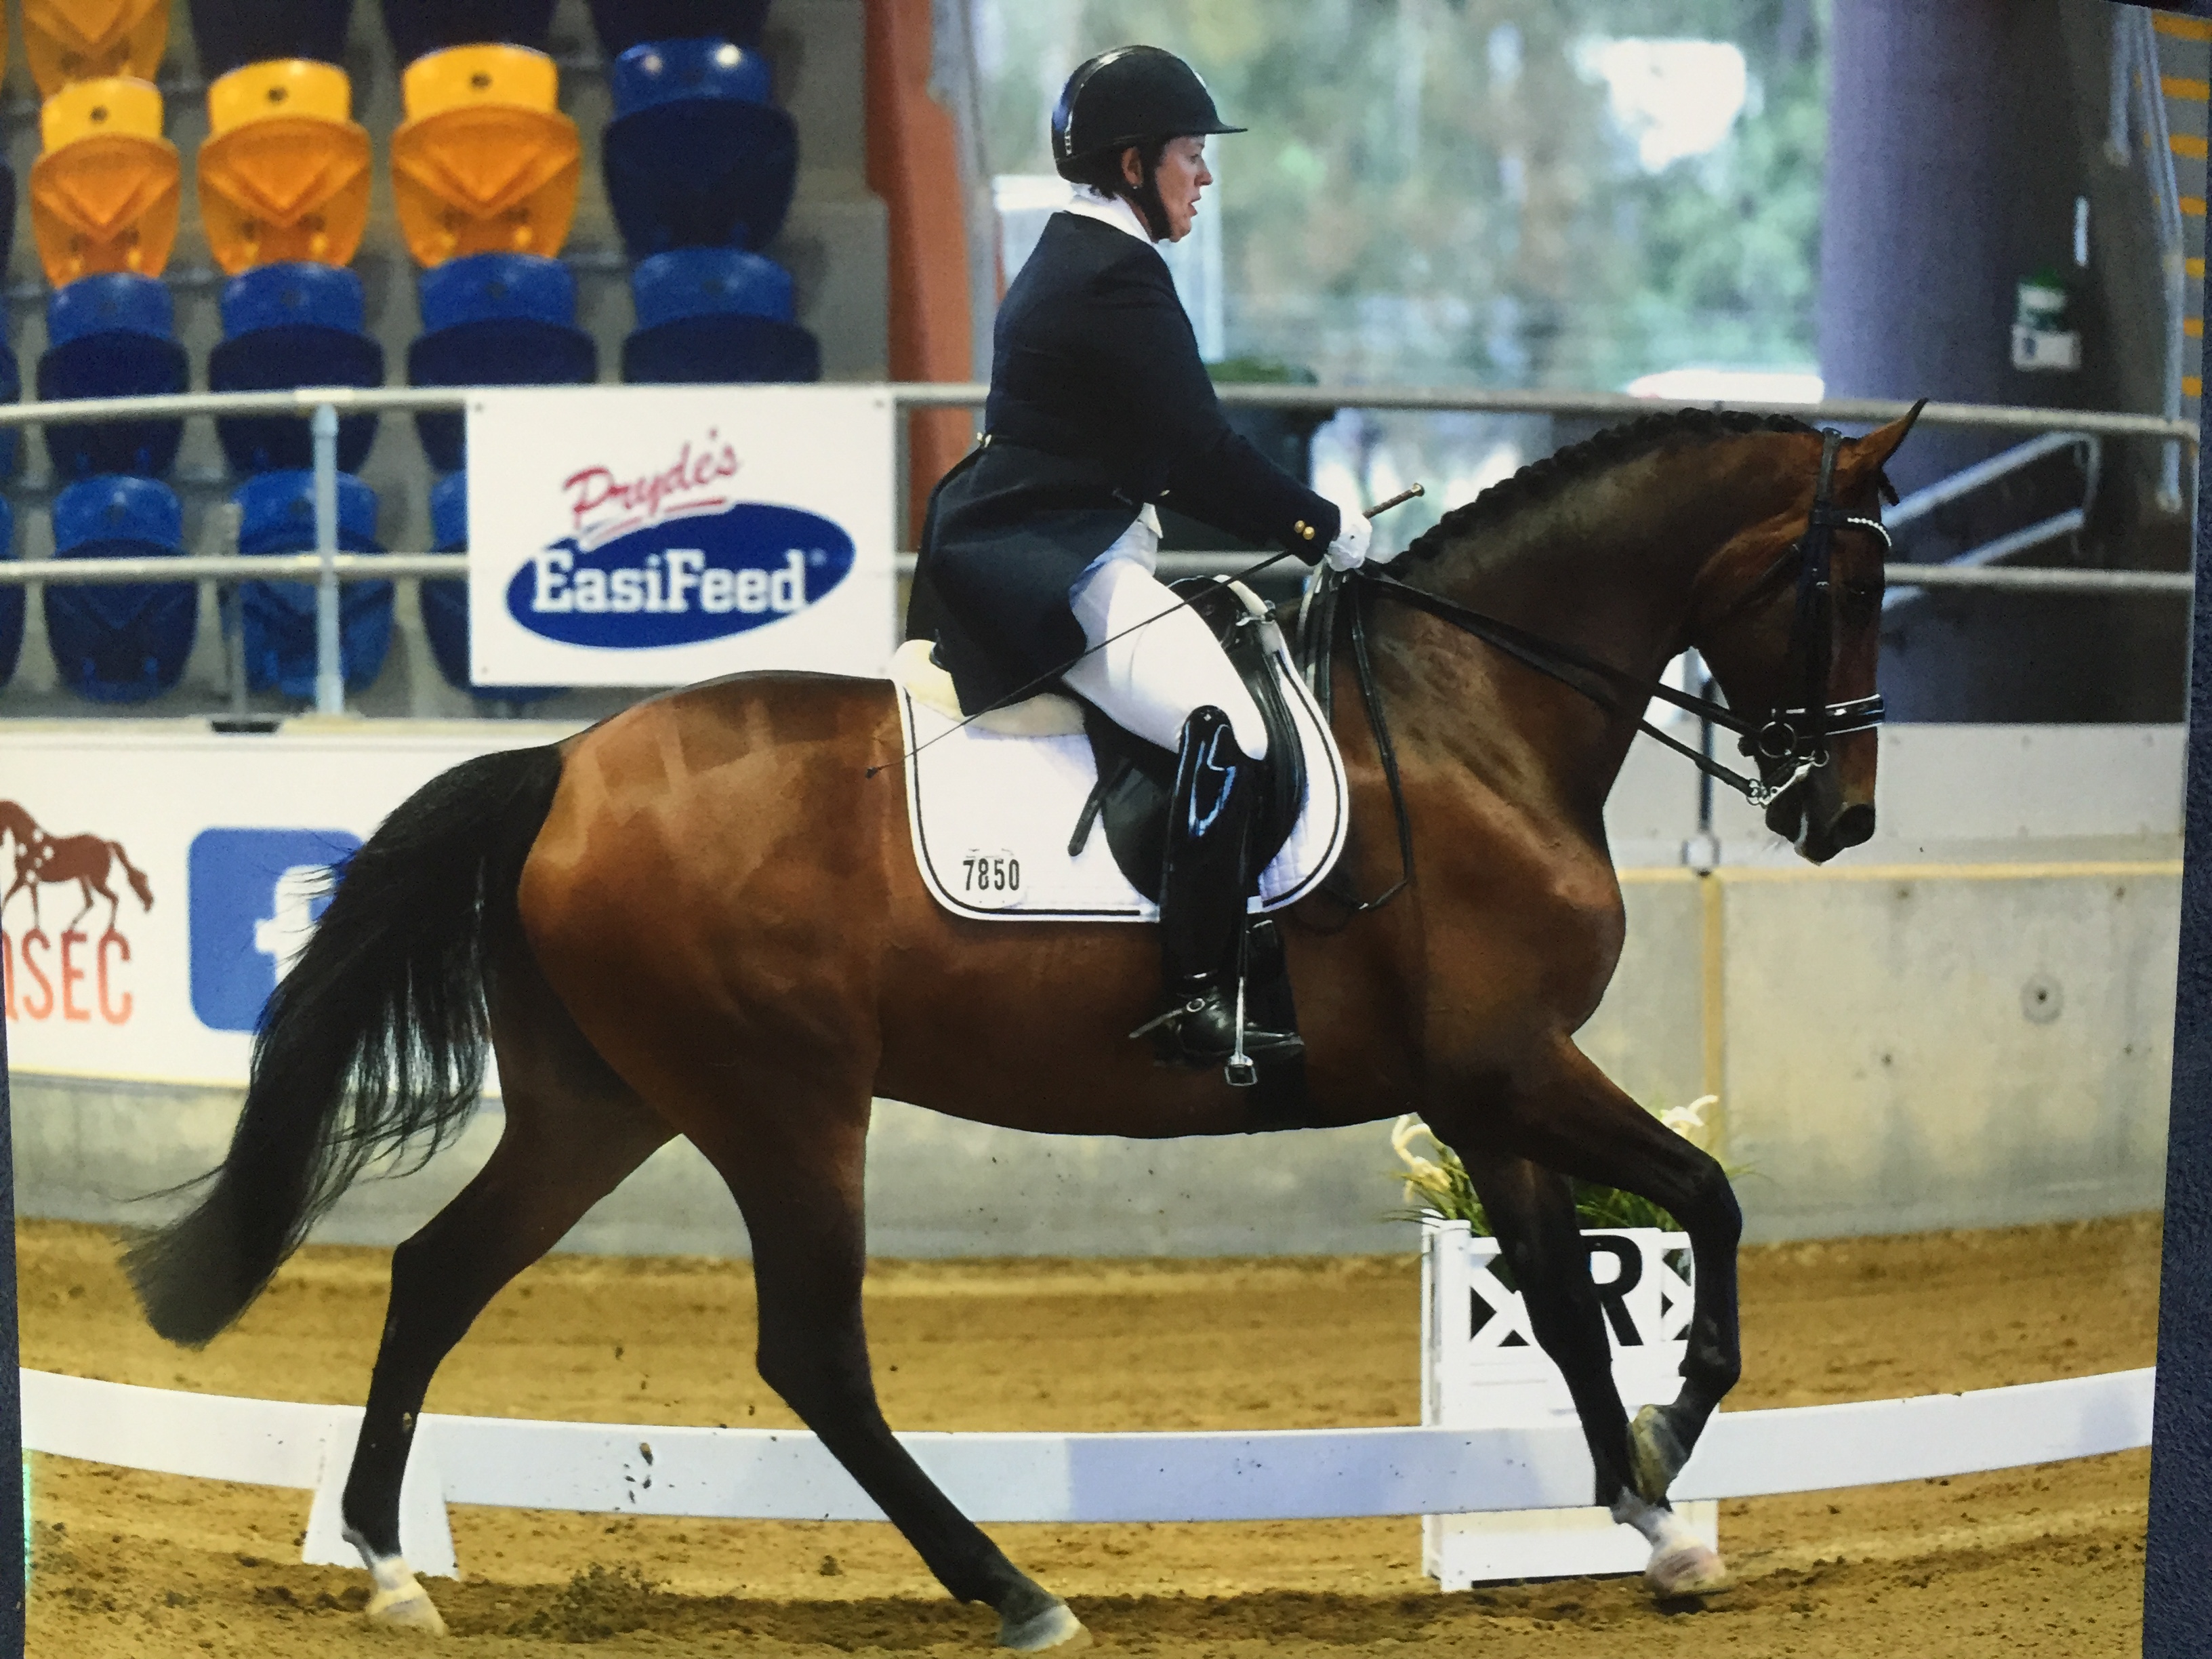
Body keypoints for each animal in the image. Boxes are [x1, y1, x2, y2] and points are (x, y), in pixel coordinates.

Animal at [3, 831, 154, 935]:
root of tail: (106, 843)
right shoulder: (31, 882)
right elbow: (33, 904)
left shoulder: (23, 879)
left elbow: (9, 898)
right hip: (84, 878)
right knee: (91, 901)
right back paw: (71, 928)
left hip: (96, 881)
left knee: (113, 898)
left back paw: (108, 930)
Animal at [123, 405, 1920, 1646]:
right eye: (1845, 578)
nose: (1835, 814)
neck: (1468, 716)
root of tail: (564, 765)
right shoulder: (1512, 1063)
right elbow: (1704, 1207)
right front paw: (1674, 1446)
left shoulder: (1487, 1087)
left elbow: (1559, 1293)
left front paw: (1652, 1514)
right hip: (781, 1101)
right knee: (812, 1355)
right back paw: (1014, 1590)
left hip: (603, 1100)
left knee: (438, 1275)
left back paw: (386, 1564)